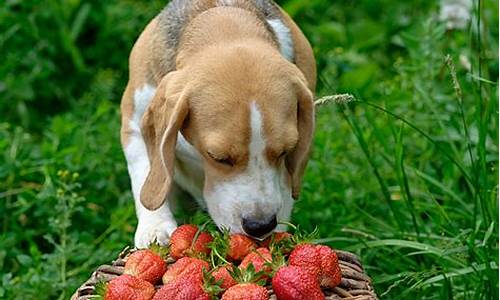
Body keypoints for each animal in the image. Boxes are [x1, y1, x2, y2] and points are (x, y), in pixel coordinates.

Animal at [120, 0, 314, 248]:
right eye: (218, 157)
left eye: (285, 152)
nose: (260, 225)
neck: (224, 18)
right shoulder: (134, 123)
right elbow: (145, 169)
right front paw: (155, 227)